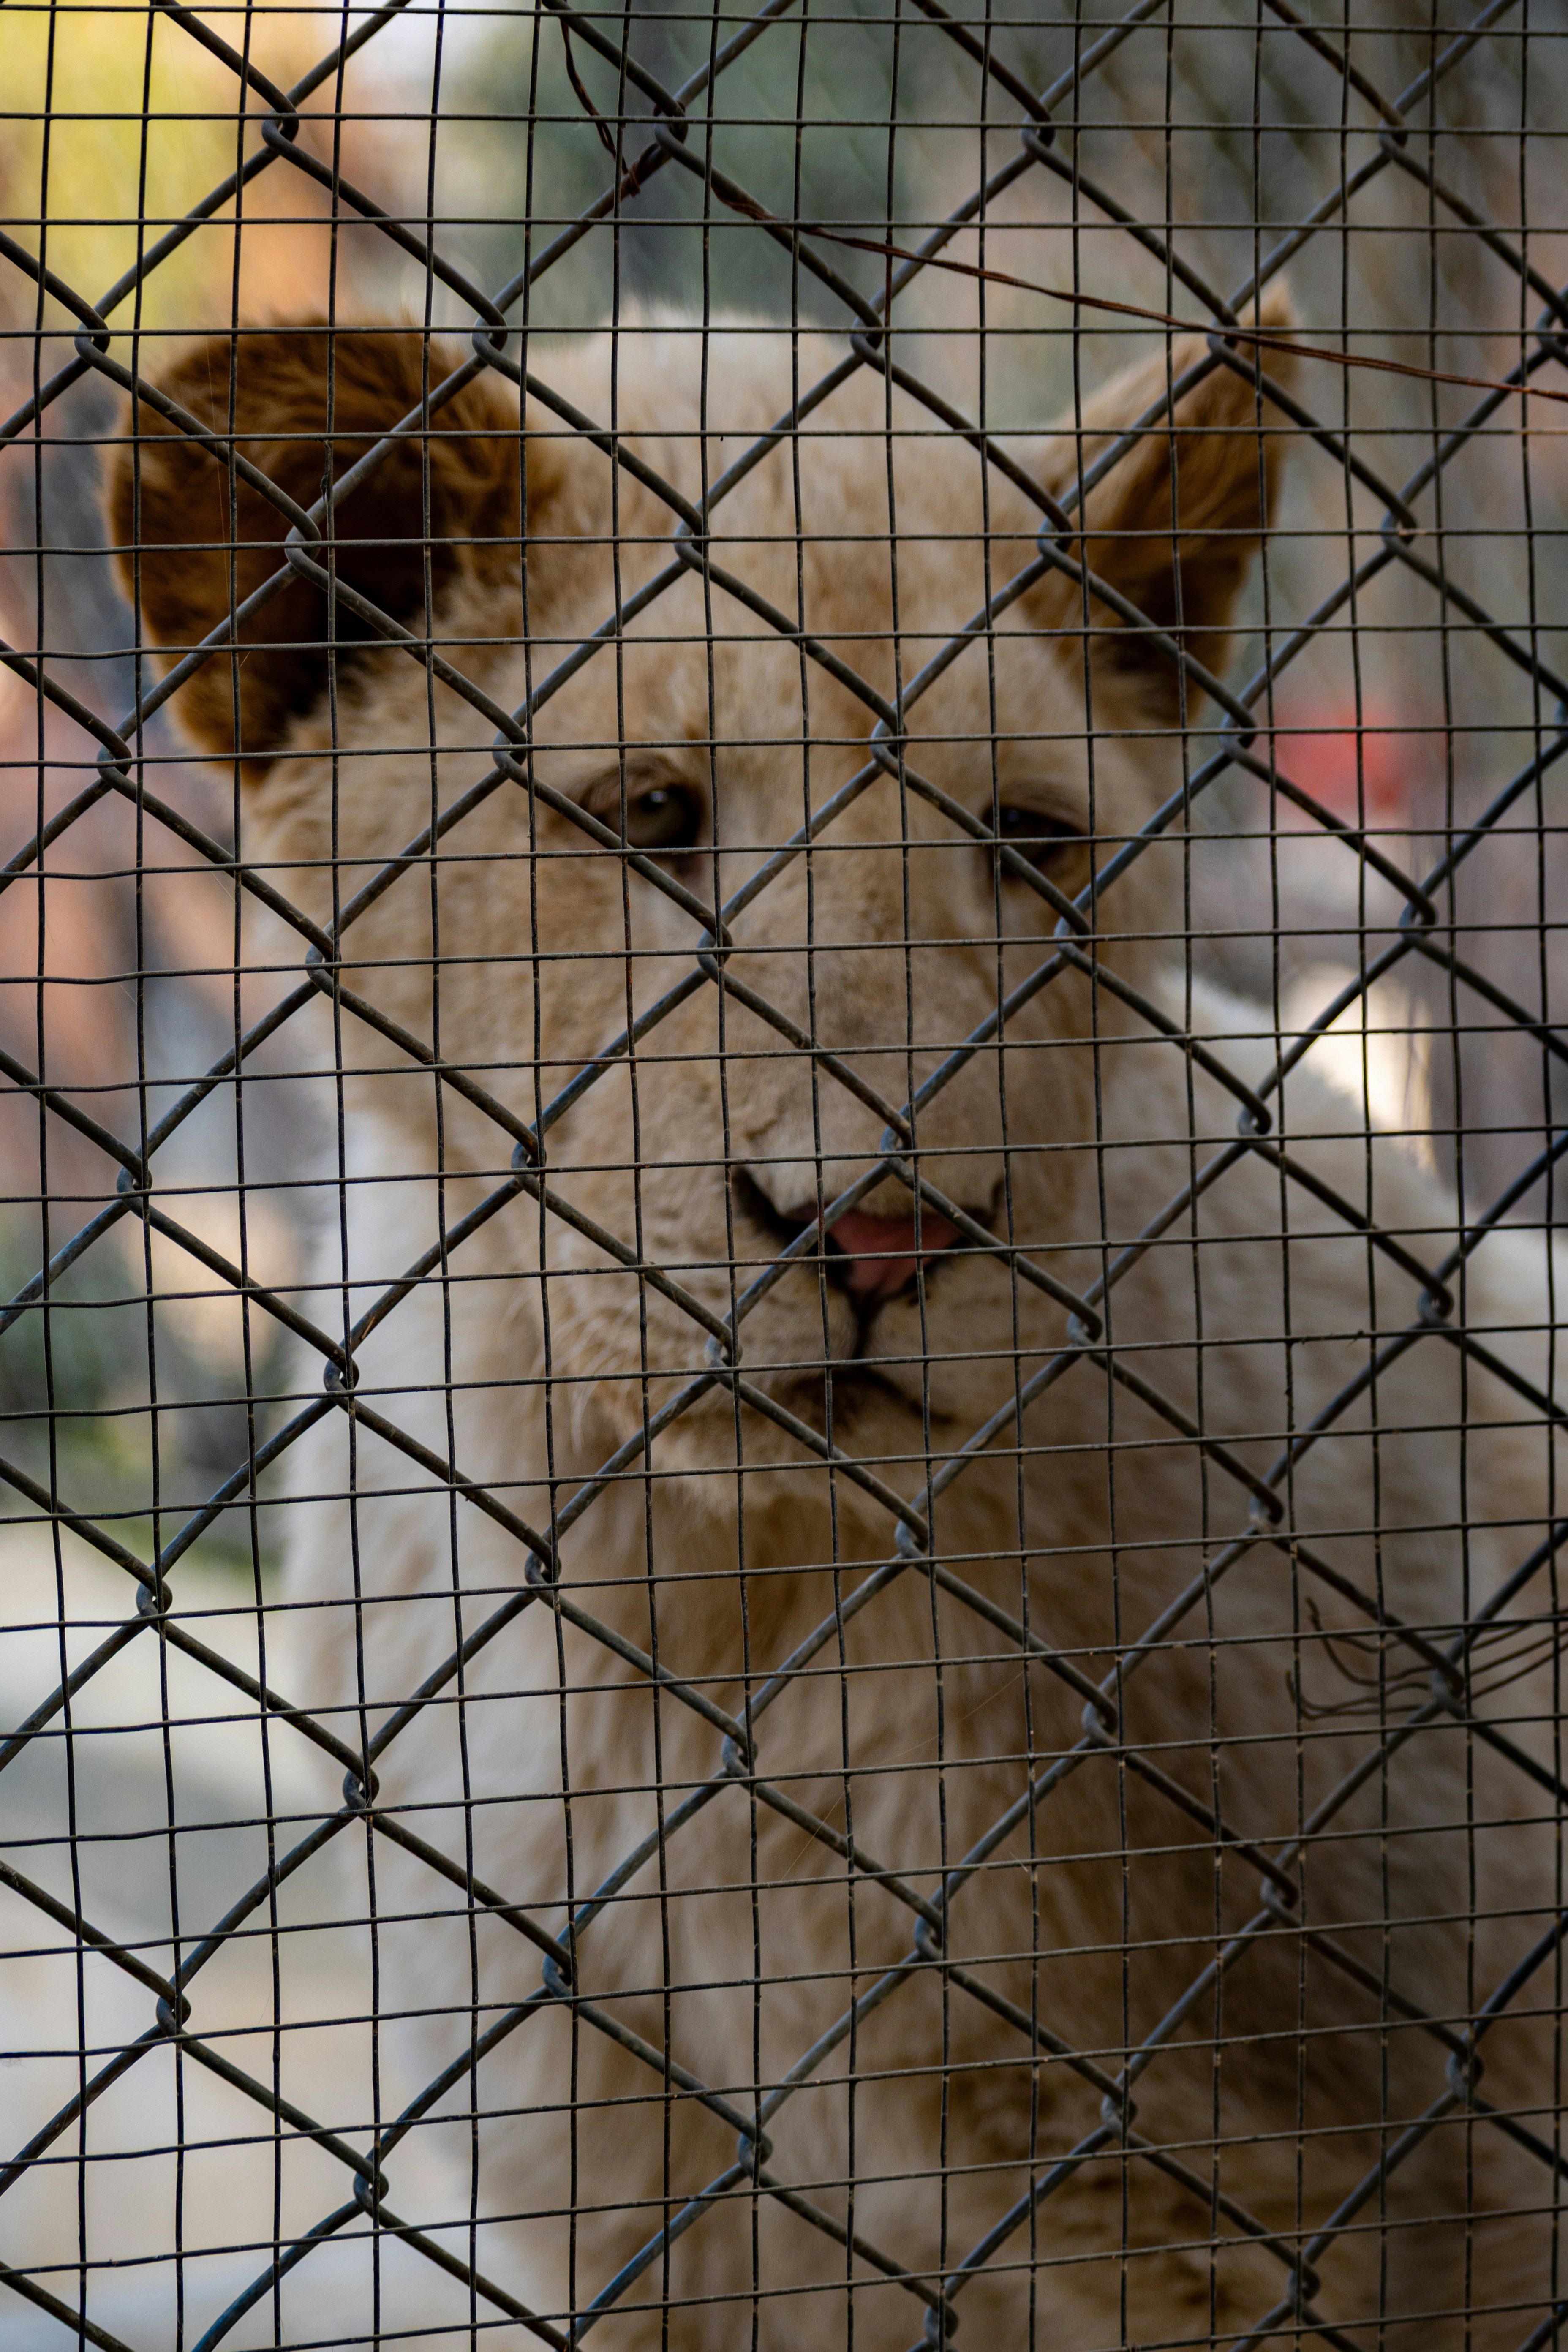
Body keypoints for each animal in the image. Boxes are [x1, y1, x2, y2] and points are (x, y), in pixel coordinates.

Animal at [110, 308, 1563, 2349]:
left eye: (1027, 844)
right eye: (648, 817)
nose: (877, 1236)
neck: (689, 1609)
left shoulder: (1324, 2201)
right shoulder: (635, 2208)